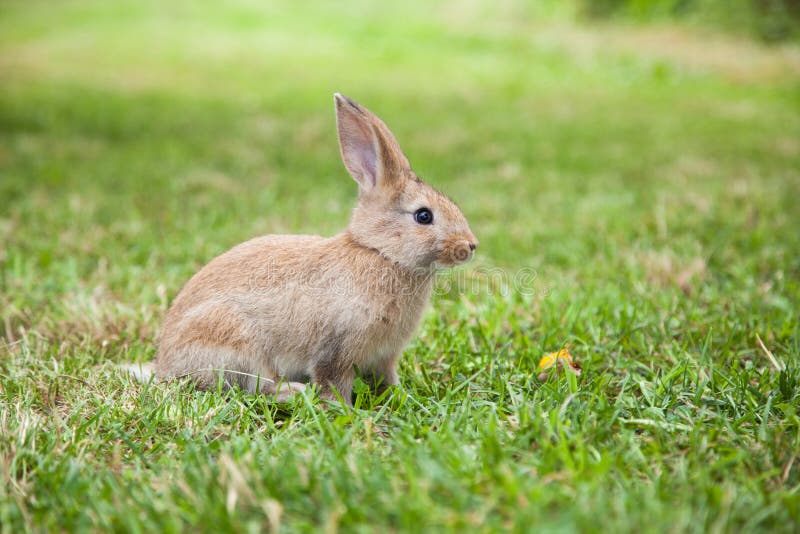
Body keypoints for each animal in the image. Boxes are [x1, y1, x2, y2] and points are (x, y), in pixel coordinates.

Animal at [153, 93, 477, 405]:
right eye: (424, 216)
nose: (470, 246)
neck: (380, 253)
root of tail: (166, 366)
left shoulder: (384, 356)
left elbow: (387, 378)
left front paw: (401, 396)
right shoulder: (335, 347)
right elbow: (332, 381)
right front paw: (343, 410)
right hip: (236, 343)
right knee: (254, 388)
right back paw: (294, 393)